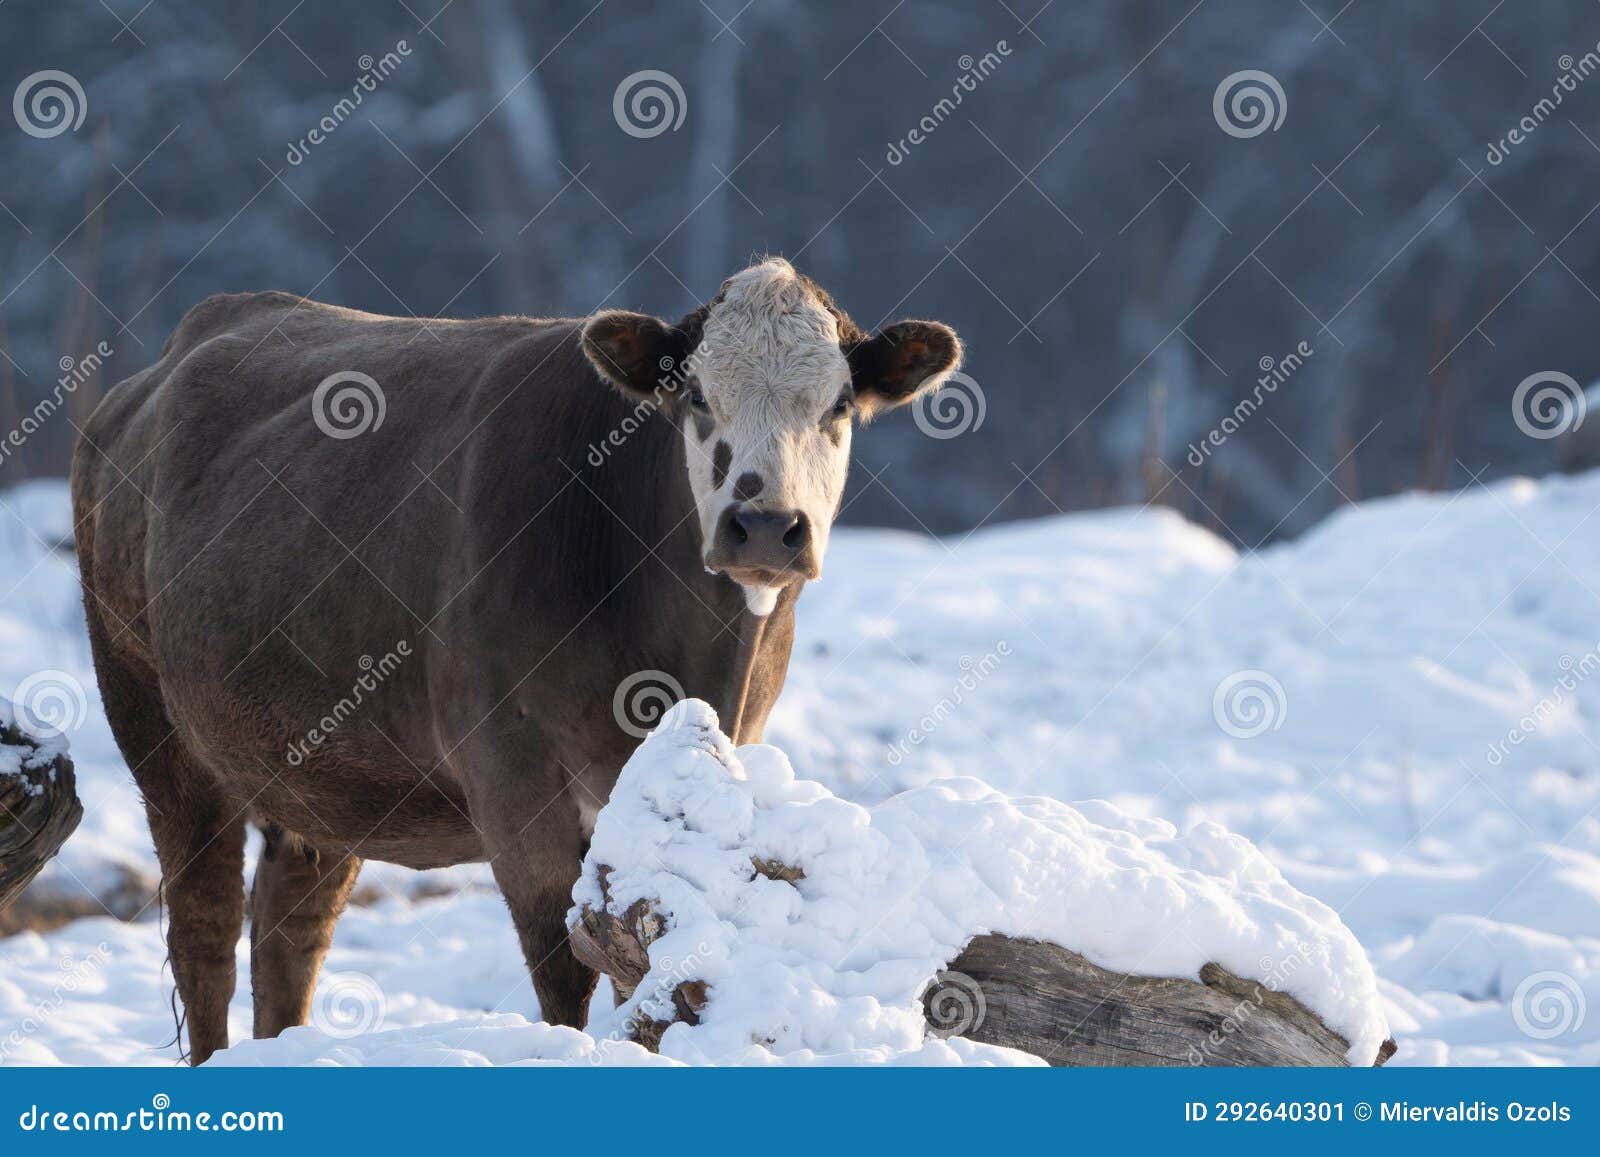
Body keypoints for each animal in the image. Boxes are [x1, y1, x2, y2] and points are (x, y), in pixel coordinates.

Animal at [70, 257, 961, 1063]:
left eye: (838, 403)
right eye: (697, 396)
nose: (767, 526)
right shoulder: (510, 766)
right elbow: (565, 964)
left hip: (322, 769)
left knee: (291, 932)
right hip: (155, 724)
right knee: (205, 931)